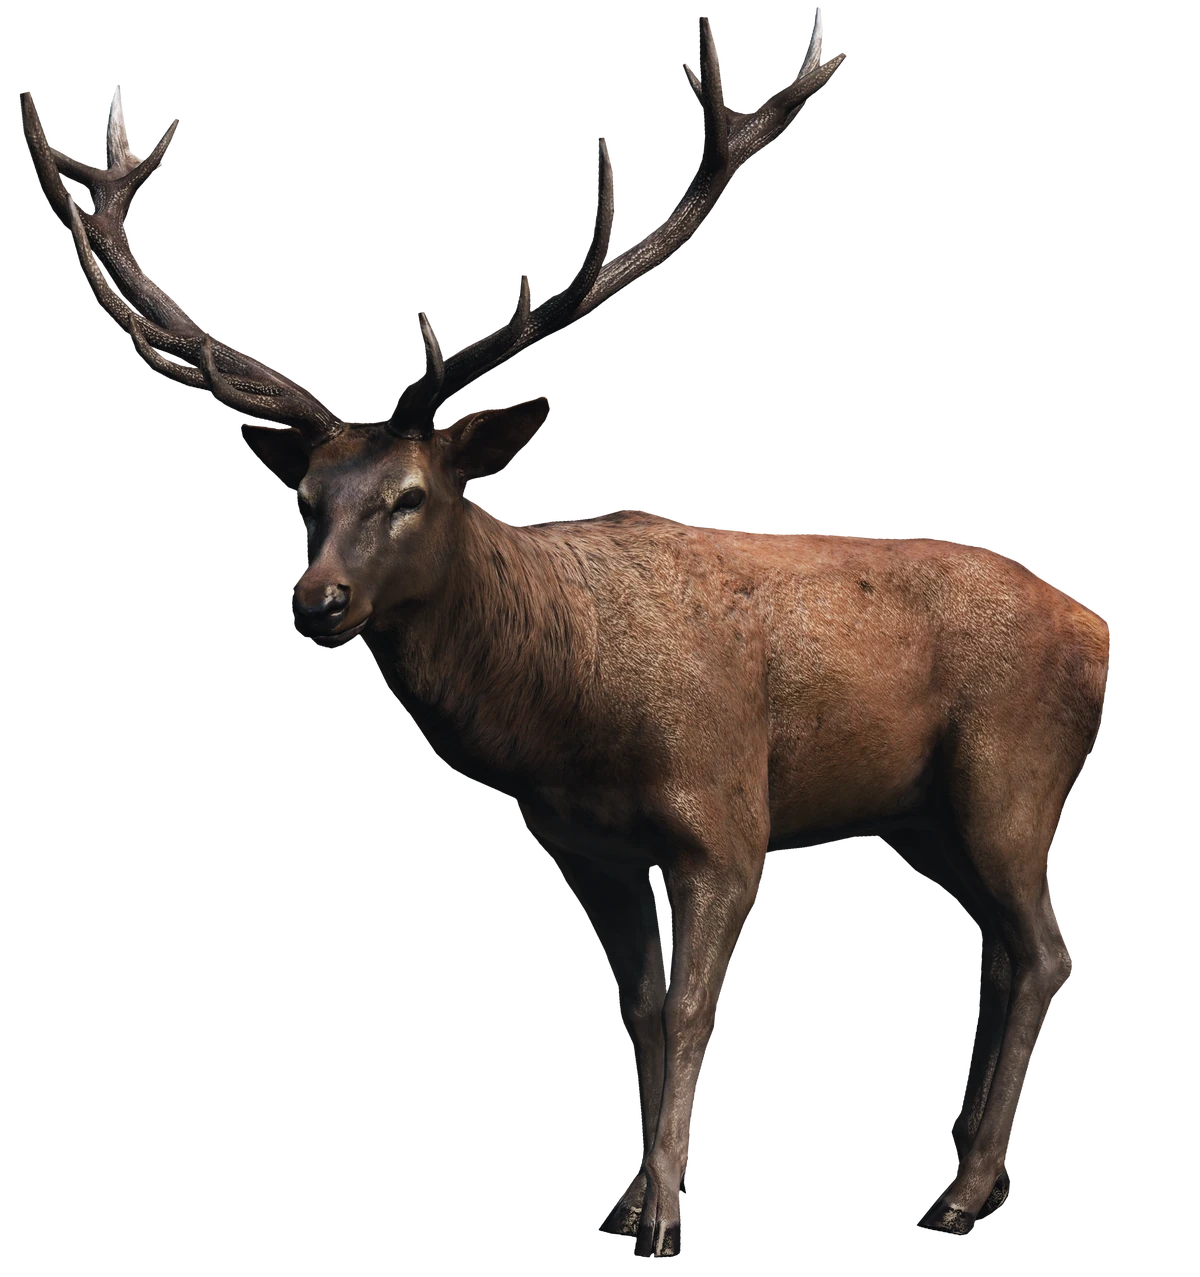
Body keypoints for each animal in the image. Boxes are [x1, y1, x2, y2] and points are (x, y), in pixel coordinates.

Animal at [22, 7, 1112, 1259]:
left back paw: (964, 1192)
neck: (565, 719)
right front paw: (628, 1195)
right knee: (1007, 949)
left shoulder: (726, 819)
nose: (316, 598)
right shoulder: (578, 843)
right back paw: (964, 1177)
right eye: (305, 499)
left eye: (410, 494)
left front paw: (668, 1215)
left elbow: (689, 1003)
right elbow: (636, 1007)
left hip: (1010, 778)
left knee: (1045, 947)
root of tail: (1101, 630)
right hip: (924, 812)